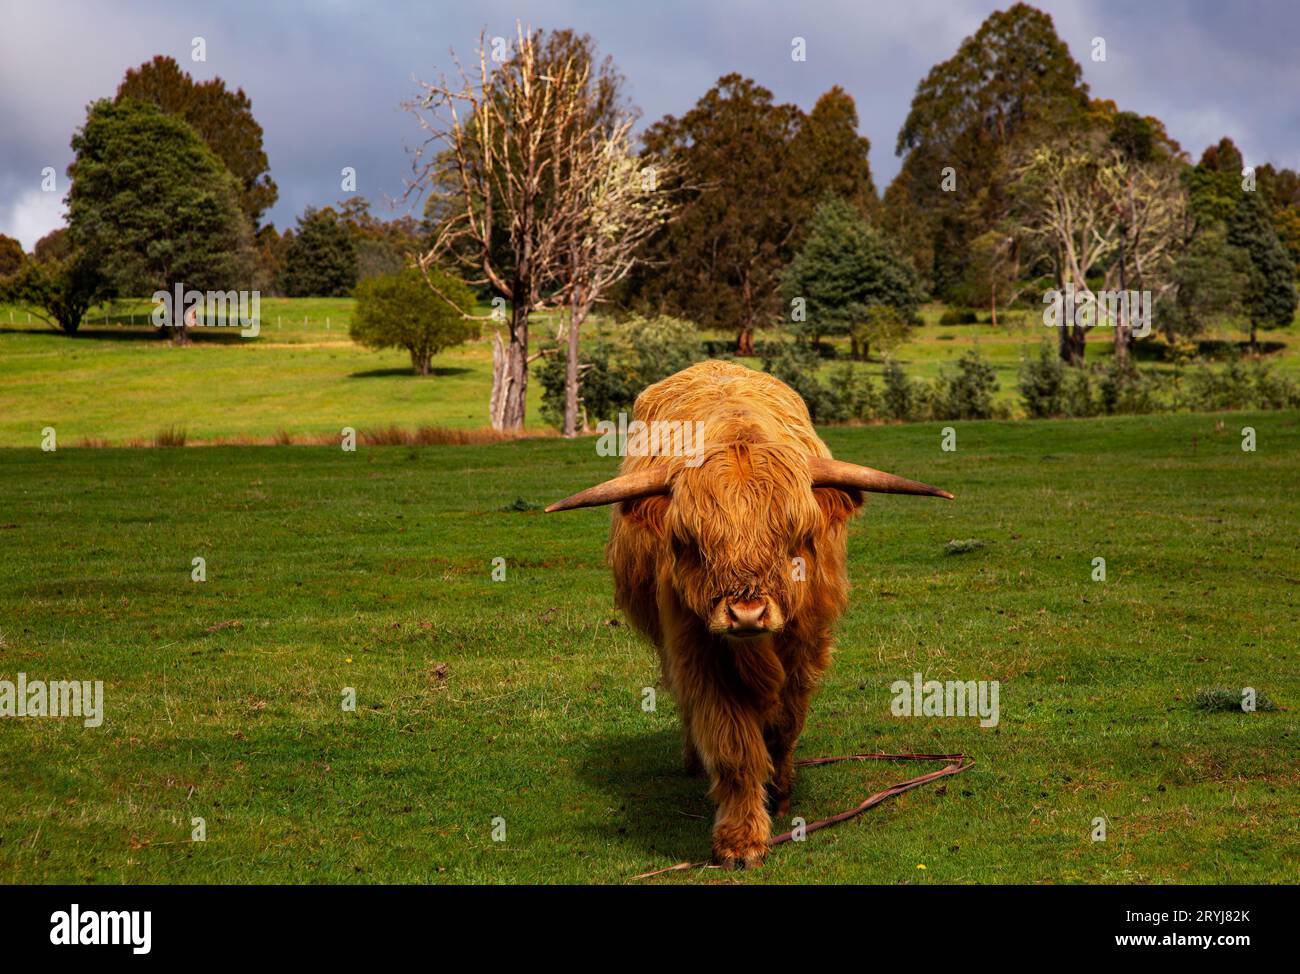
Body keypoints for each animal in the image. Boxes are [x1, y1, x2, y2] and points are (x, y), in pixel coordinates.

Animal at [546, 360, 952, 868]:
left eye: (793, 535)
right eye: (691, 541)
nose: (746, 614)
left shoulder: (806, 642)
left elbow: (784, 723)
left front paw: (780, 789)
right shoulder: (699, 649)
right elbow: (732, 743)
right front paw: (740, 840)